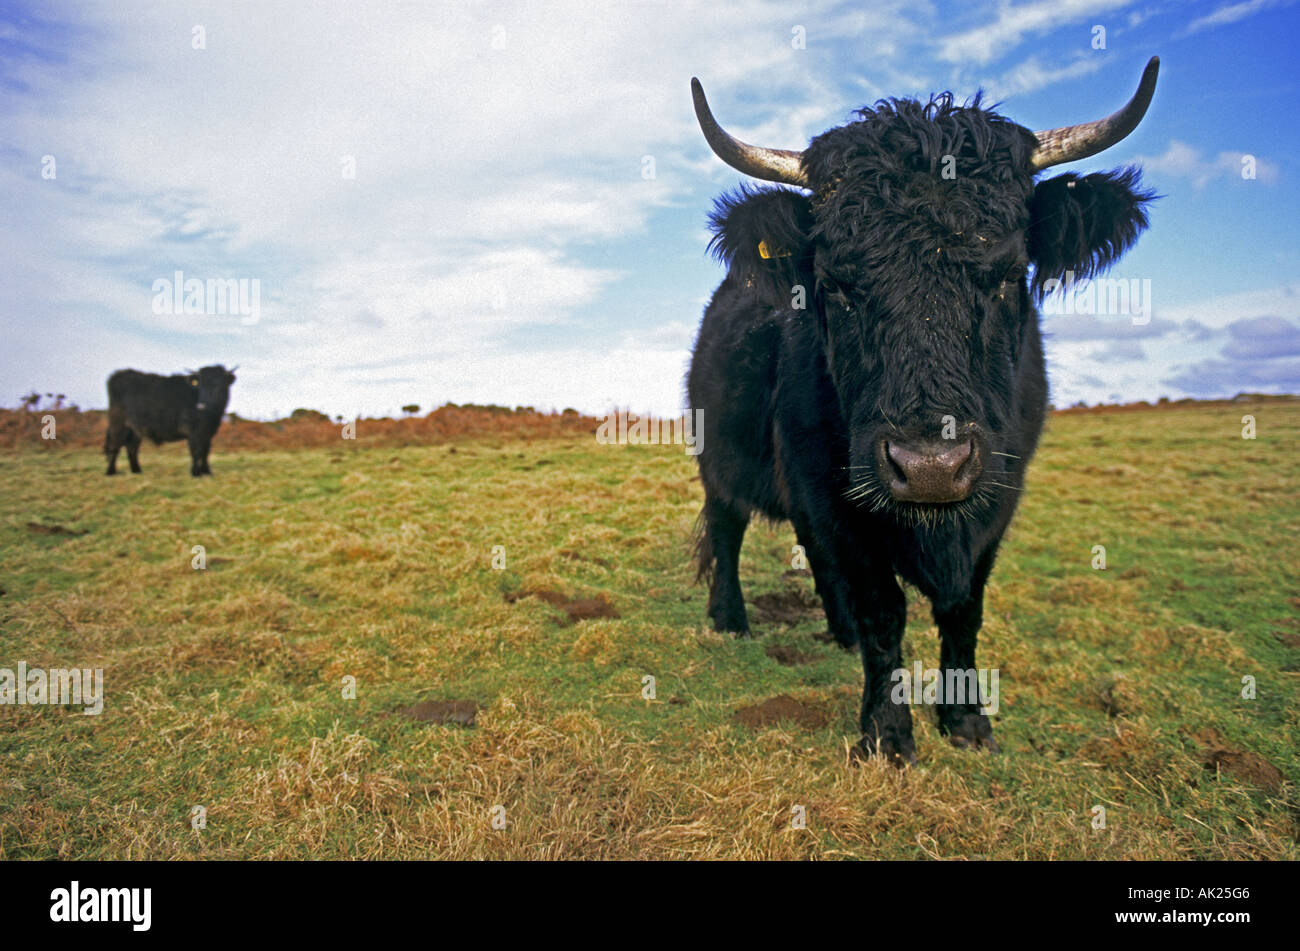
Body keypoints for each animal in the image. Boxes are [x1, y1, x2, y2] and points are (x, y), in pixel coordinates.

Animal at [104, 365, 237, 477]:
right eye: (200, 385)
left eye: (218, 385)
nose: (201, 406)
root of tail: (120, 373)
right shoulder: (193, 431)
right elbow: (196, 451)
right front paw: (195, 473)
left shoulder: (208, 432)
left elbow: (205, 451)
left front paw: (207, 472)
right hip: (118, 423)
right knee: (114, 445)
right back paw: (111, 472)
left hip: (134, 429)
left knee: (132, 447)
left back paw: (137, 471)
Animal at [687, 59, 1159, 763]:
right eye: (836, 284)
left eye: (1008, 274)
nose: (930, 466)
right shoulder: (835, 500)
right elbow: (884, 607)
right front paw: (887, 733)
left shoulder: (997, 495)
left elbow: (964, 608)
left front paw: (966, 721)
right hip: (718, 459)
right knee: (727, 527)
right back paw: (730, 619)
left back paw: (840, 633)